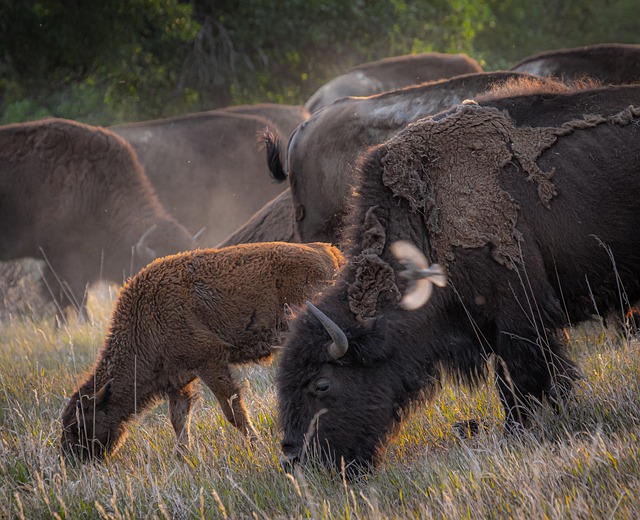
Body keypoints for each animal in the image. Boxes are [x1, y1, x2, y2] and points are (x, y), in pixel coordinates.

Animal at [277, 84, 640, 473]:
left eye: (322, 385)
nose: (293, 459)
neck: (426, 224)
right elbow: (517, 378)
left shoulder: (520, 316)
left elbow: (523, 376)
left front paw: (521, 431)